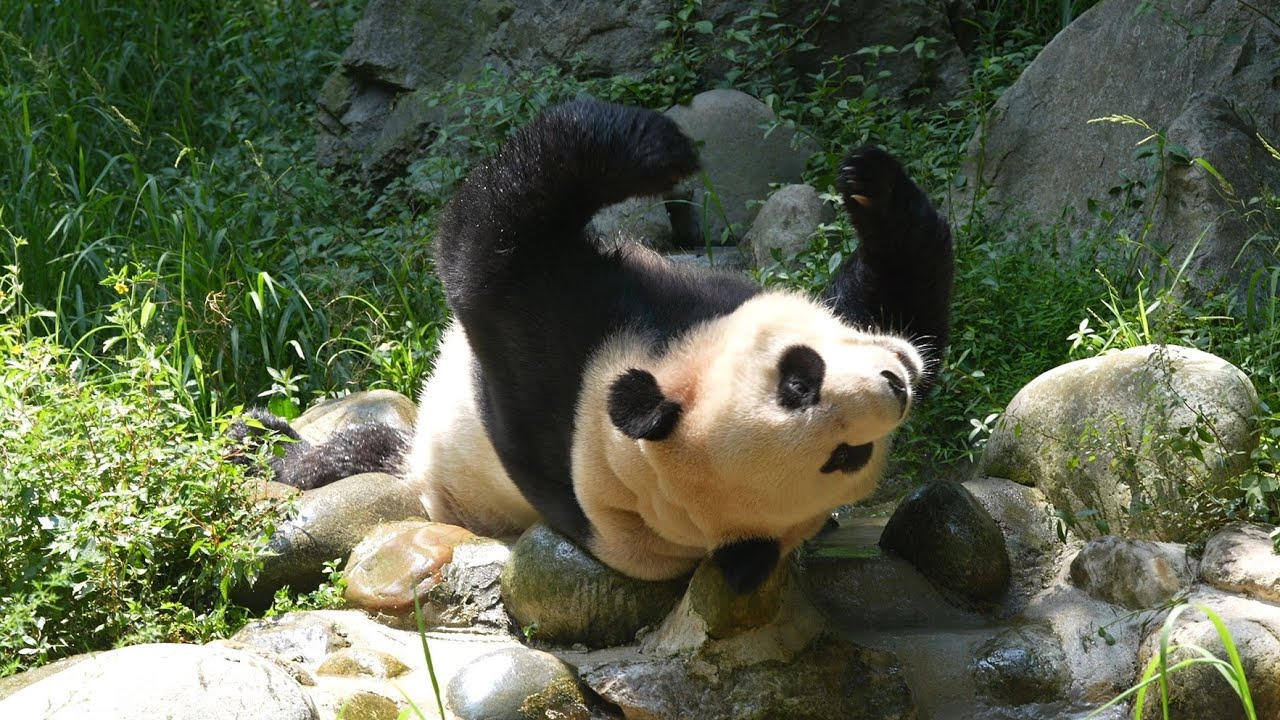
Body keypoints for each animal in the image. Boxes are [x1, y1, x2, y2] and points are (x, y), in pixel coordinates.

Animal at [243, 99, 954, 595]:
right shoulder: (566, 360)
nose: (898, 383)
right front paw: (660, 151)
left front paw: (871, 185)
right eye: (799, 380)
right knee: (347, 454)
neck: (637, 466)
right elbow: (486, 250)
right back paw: (266, 440)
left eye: (851, 453)